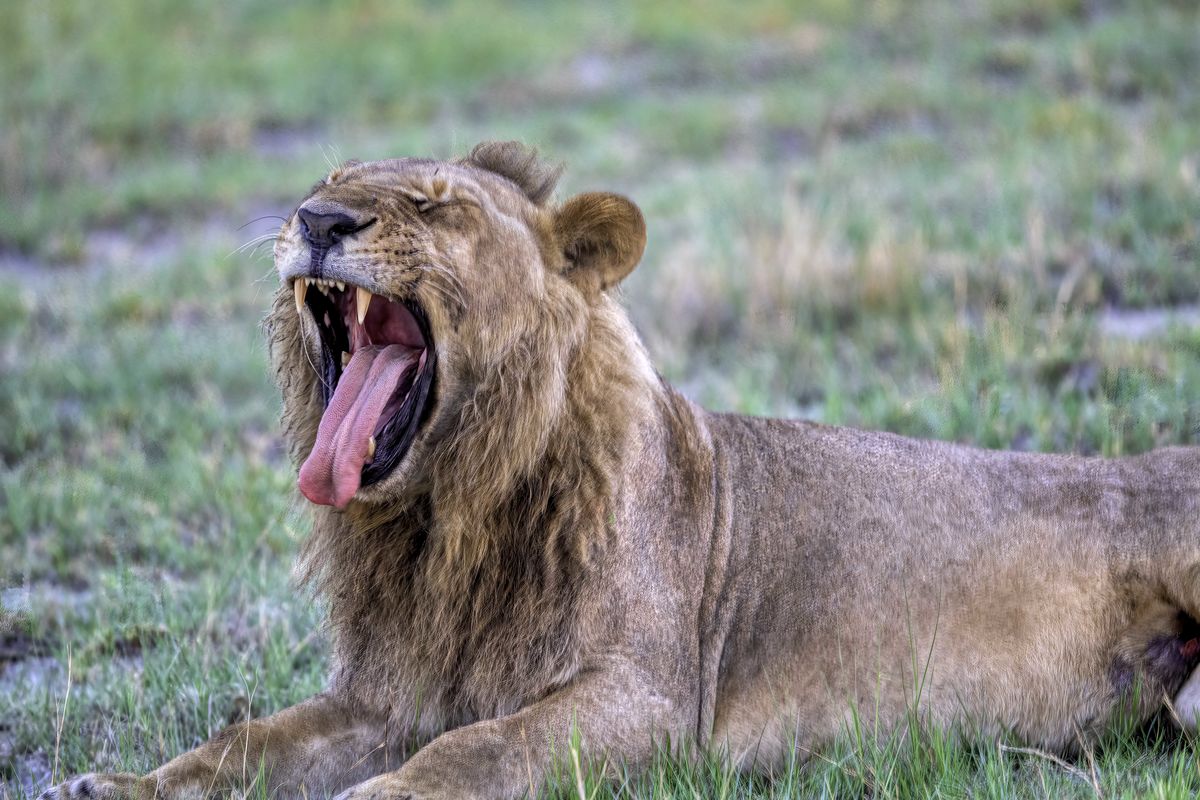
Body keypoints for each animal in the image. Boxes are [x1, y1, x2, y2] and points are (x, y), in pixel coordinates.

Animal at [43, 141, 1200, 800]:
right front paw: (115, 785)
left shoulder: (651, 699)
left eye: (436, 205)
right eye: (323, 188)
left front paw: (382, 797)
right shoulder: (388, 692)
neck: (441, 517)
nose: (320, 222)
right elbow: (243, 743)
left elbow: (484, 748)